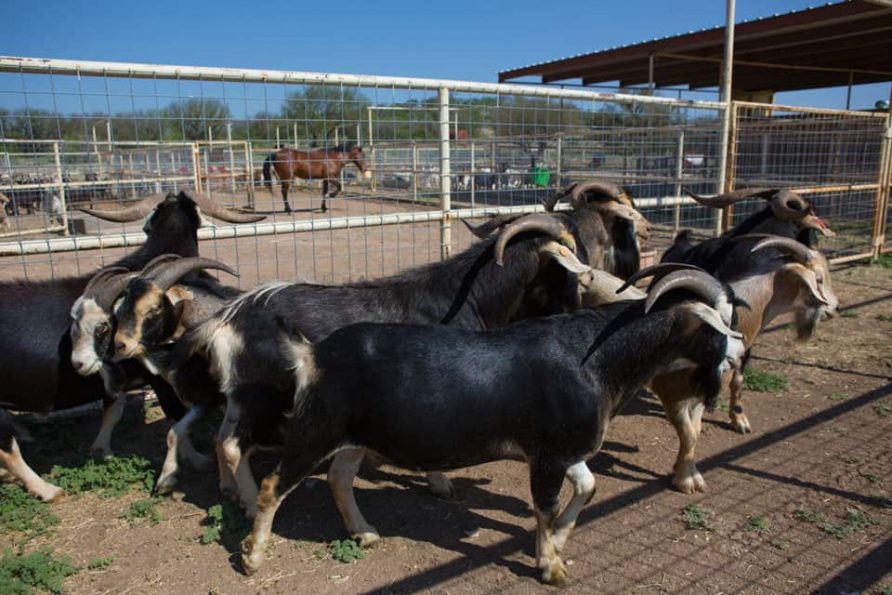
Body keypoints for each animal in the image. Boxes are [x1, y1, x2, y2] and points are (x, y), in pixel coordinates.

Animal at [0, 191, 263, 501]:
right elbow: (174, 421)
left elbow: (120, 412)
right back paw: (47, 489)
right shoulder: (168, 383)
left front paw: (104, 450)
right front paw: (189, 466)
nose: (79, 363)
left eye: (104, 325)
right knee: (9, 448)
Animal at [238, 266, 745, 584]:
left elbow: (588, 487)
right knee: (273, 485)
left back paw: (363, 532)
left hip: (352, 438)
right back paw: (253, 558)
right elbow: (545, 505)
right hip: (315, 429)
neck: (594, 356)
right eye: (716, 327)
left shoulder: (565, 450)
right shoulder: (547, 457)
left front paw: (555, 543)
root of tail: (312, 355)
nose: (742, 349)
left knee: (340, 478)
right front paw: (551, 568)